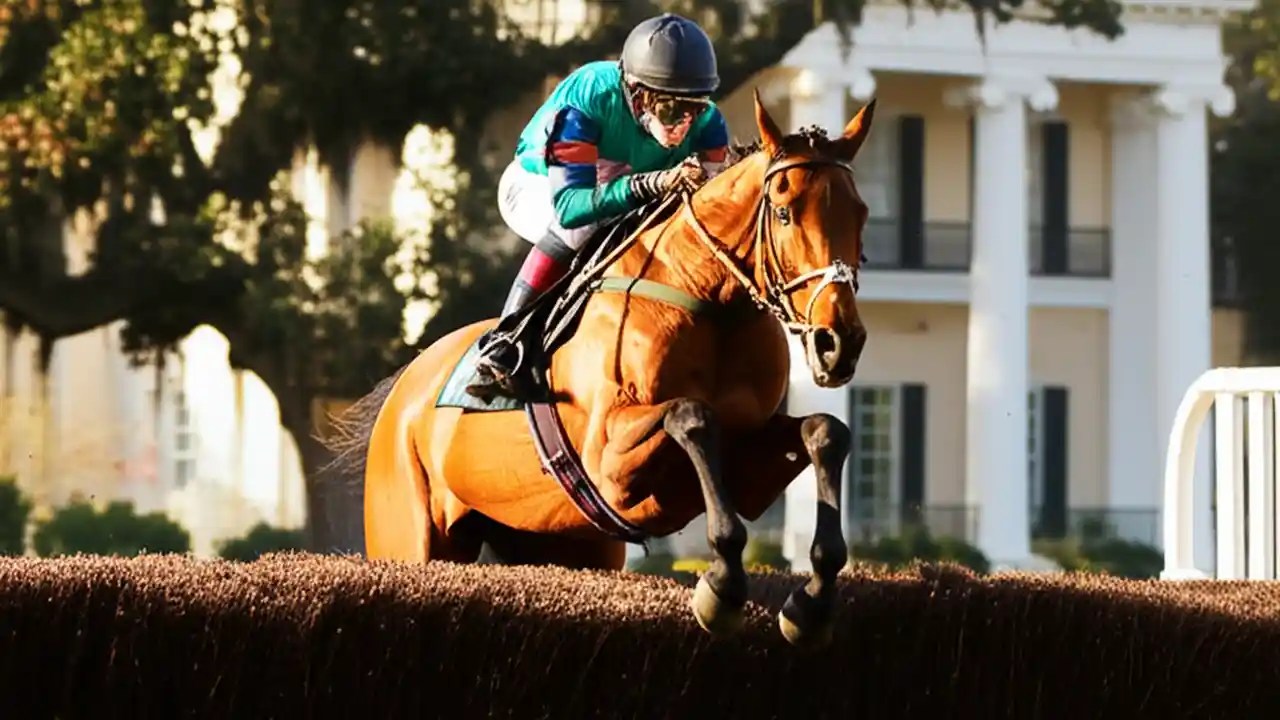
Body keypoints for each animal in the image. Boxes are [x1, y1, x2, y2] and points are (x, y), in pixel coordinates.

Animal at [323, 91, 874, 647]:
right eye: (783, 212)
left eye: (862, 213)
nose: (838, 343)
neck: (707, 297)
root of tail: (405, 386)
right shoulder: (610, 466)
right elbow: (692, 416)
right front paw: (721, 588)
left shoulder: (748, 453)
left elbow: (825, 430)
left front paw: (812, 601)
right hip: (411, 537)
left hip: (564, 544)